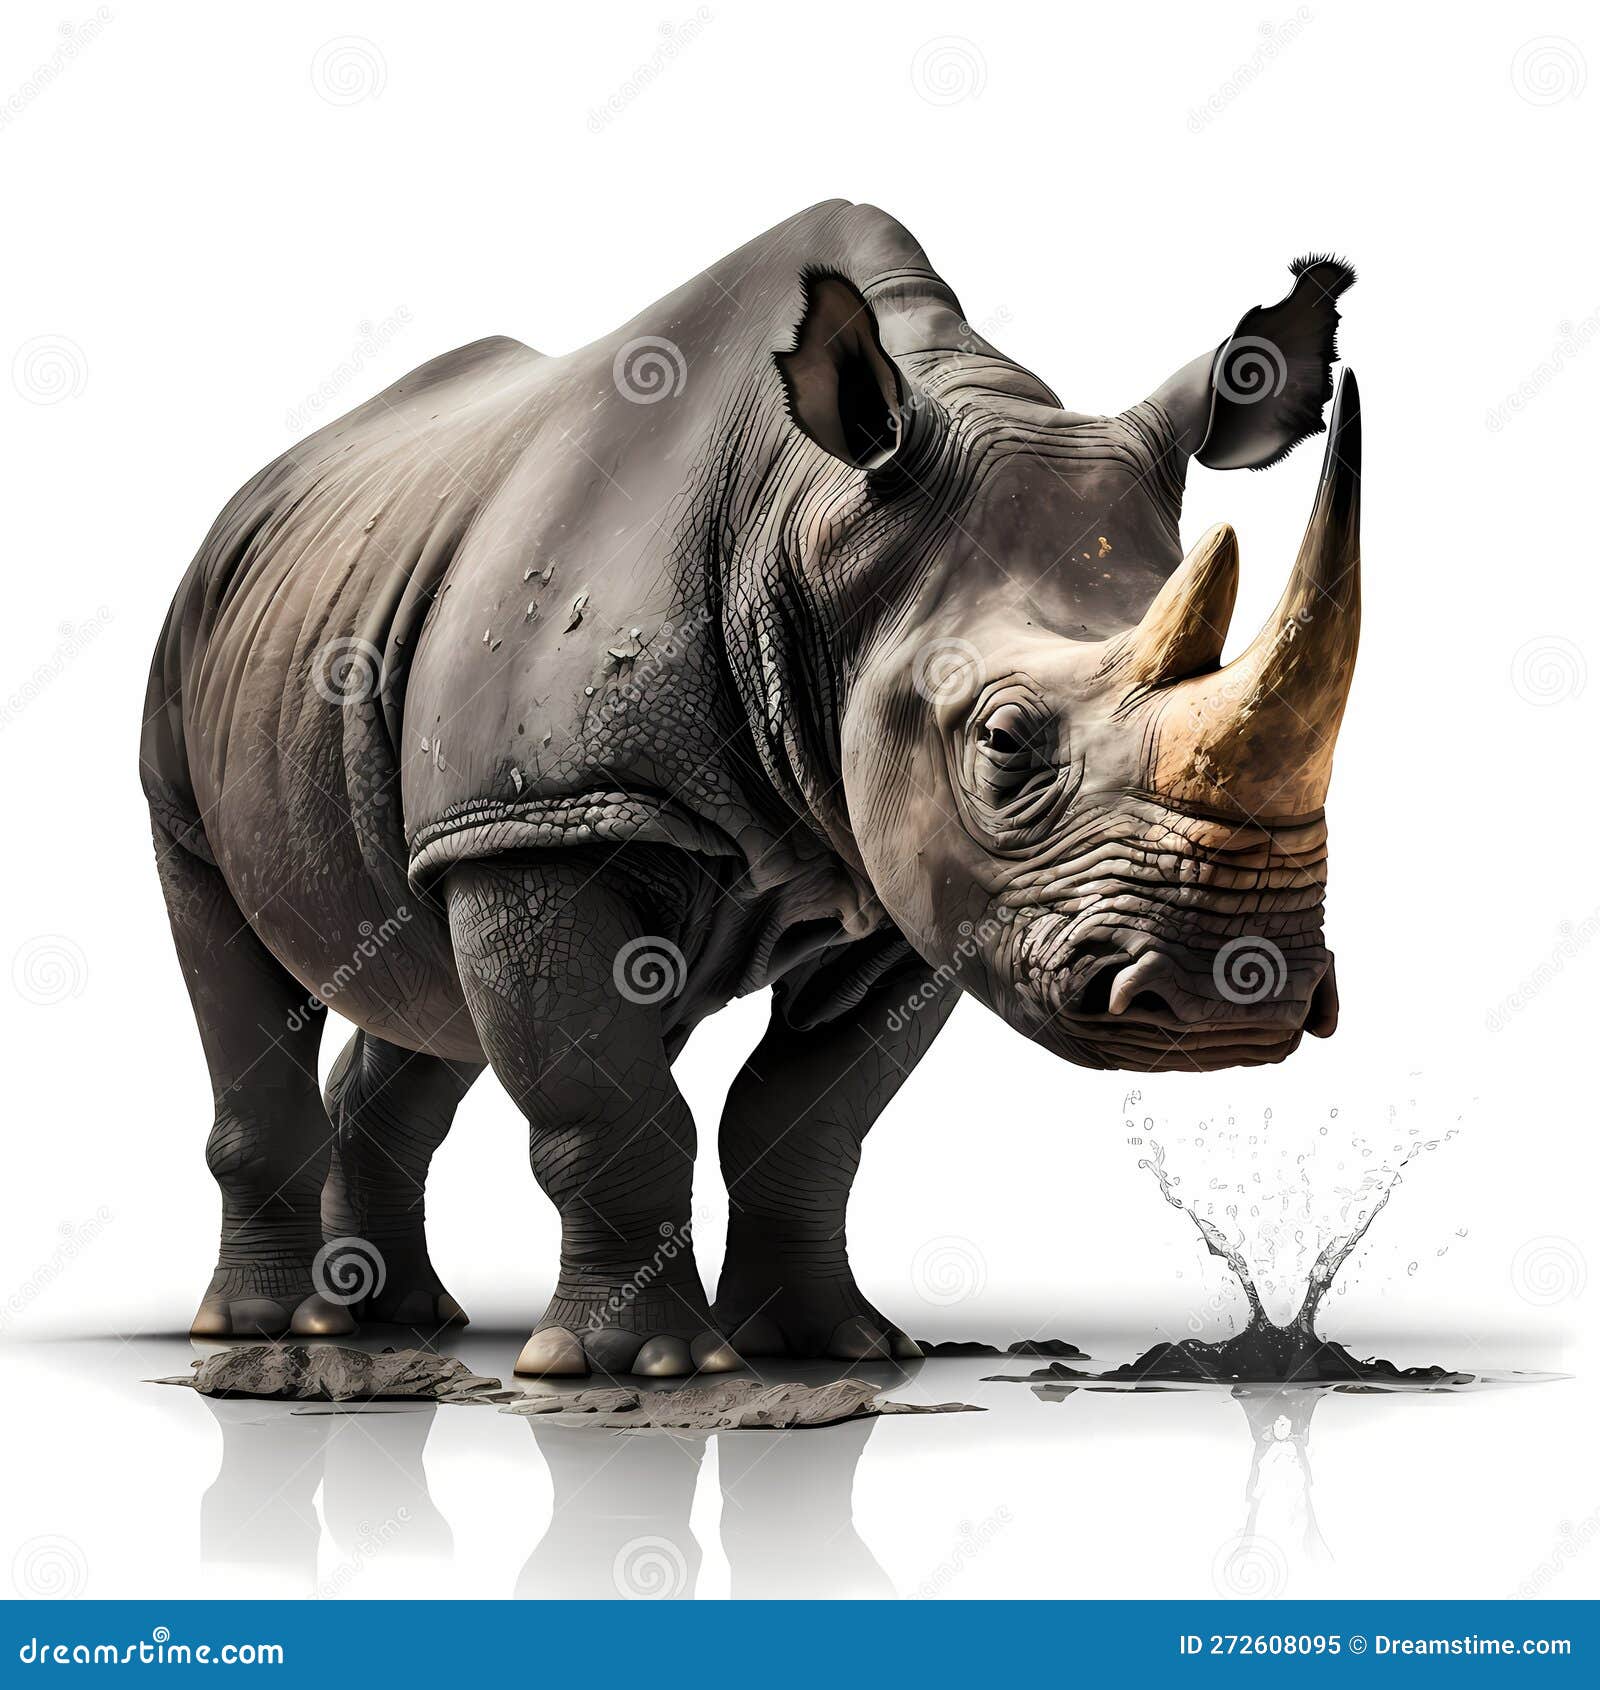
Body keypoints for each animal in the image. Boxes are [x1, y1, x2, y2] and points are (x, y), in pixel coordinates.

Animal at [142, 200, 1360, 1376]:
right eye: (1003, 742)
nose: (1232, 994)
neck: (814, 532)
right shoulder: (542, 816)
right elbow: (609, 1105)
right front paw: (634, 1366)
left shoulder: (901, 881)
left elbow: (804, 1118)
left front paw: (829, 1346)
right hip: (198, 659)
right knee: (235, 941)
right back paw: (266, 1329)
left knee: (420, 983)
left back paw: (393, 1319)